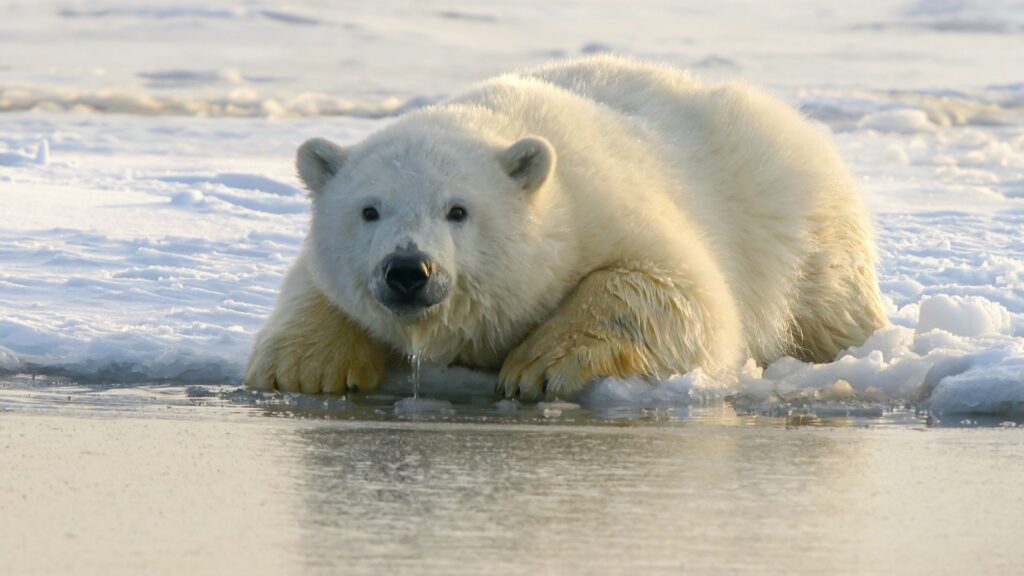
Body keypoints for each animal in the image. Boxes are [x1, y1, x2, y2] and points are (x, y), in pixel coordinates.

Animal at [245, 55, 888, 400]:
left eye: (458, 210)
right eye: (369, 210)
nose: (408, 270)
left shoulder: (607, 207)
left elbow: (680, 292)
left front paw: (537, 367)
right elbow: (312, 285)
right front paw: (305, 368)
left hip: (798, 221)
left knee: (830, 303)